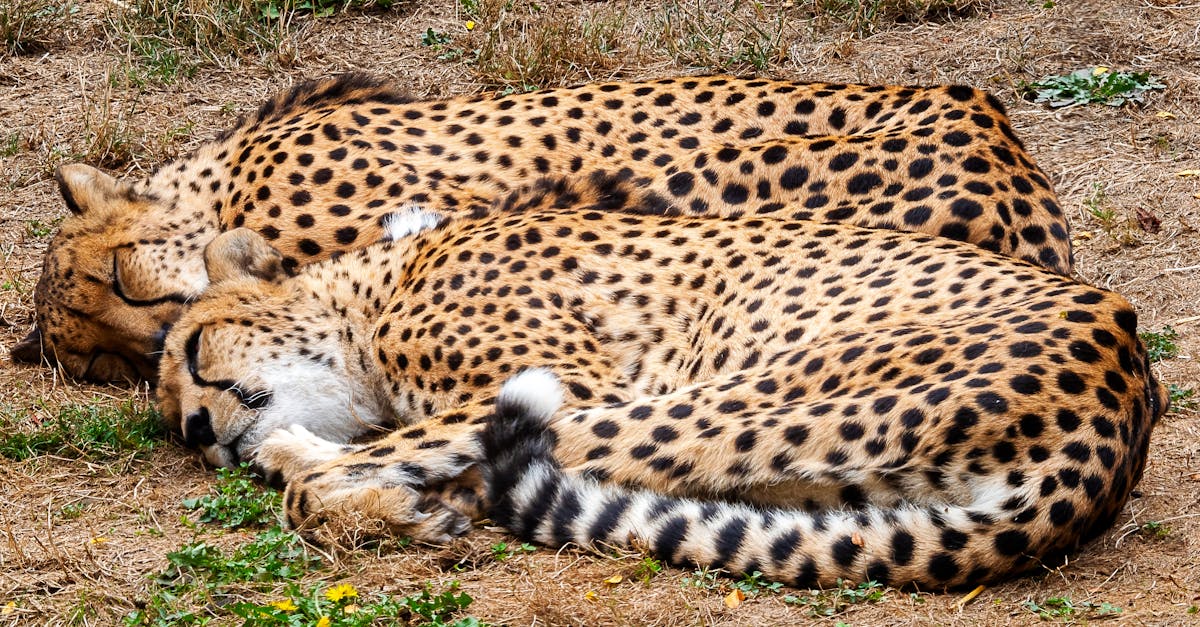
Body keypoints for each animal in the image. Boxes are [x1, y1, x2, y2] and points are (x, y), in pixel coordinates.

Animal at [152, 174, 1161, 586]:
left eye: (195, 355)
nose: (200, 434)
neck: (371, 294)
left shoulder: (574, 377)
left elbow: (353, 464)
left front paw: (347, 484)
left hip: (732, 393)